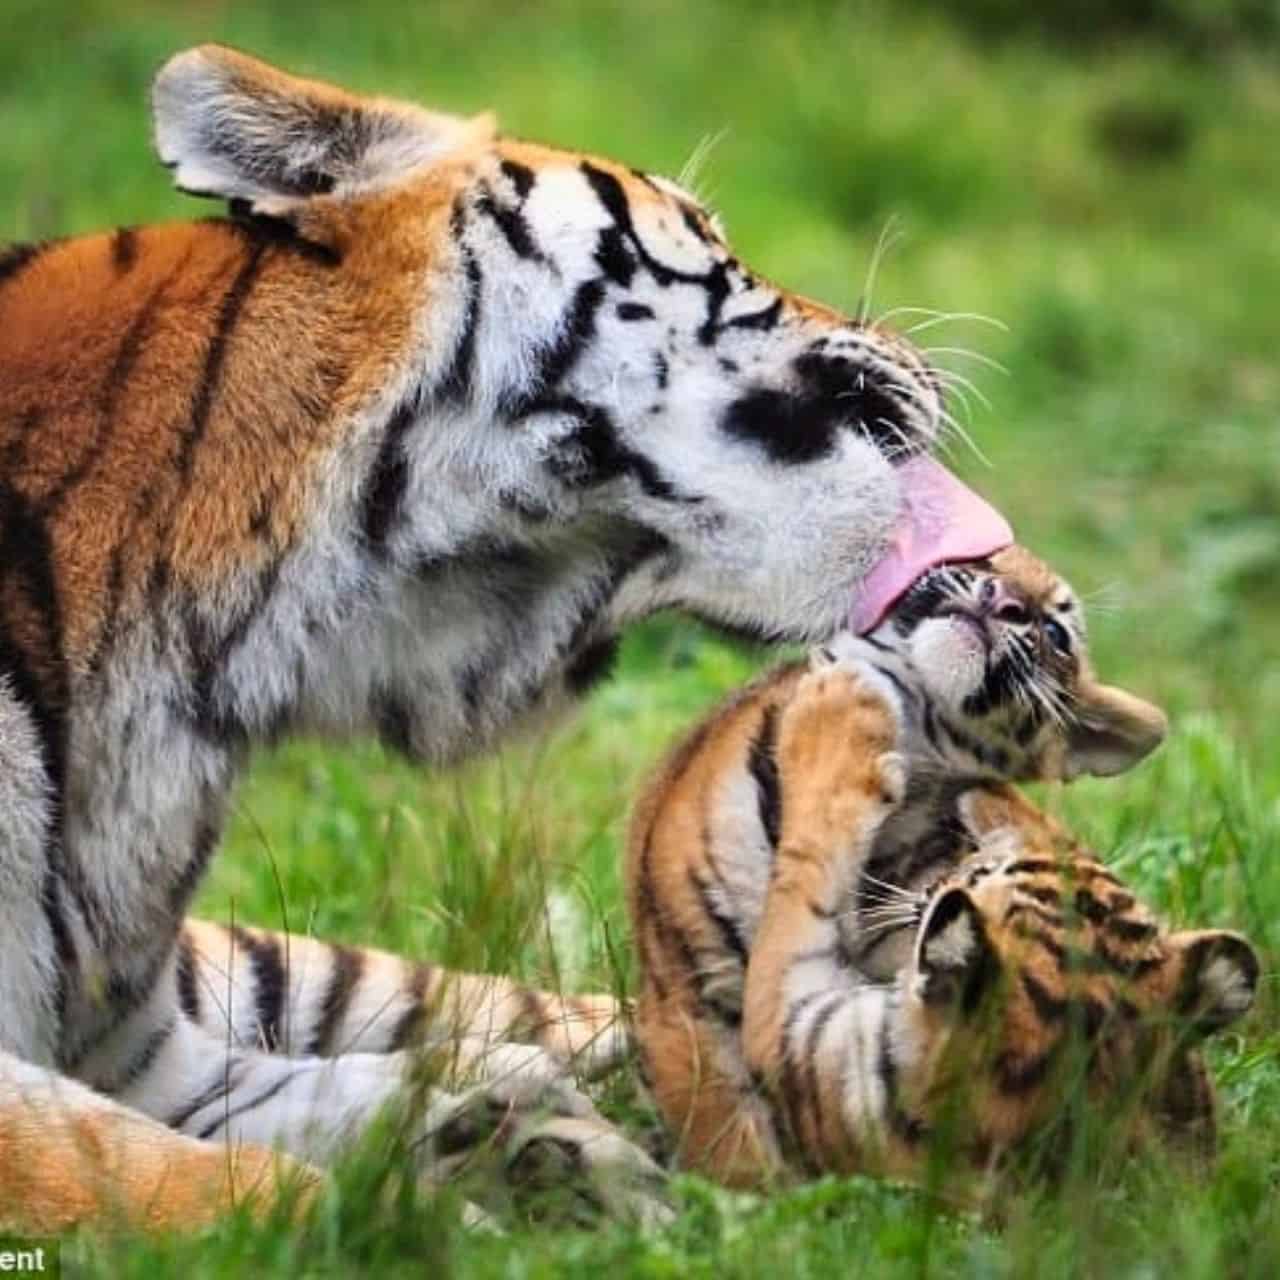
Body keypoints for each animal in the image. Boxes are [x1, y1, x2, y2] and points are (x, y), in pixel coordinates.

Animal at [0, 43, 982, 1233]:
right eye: (707, 234)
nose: (918, 357)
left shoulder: (148, 1052)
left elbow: (329, 1102)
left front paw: (518, 1140)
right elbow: (206, 1183)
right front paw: (458, 1191)